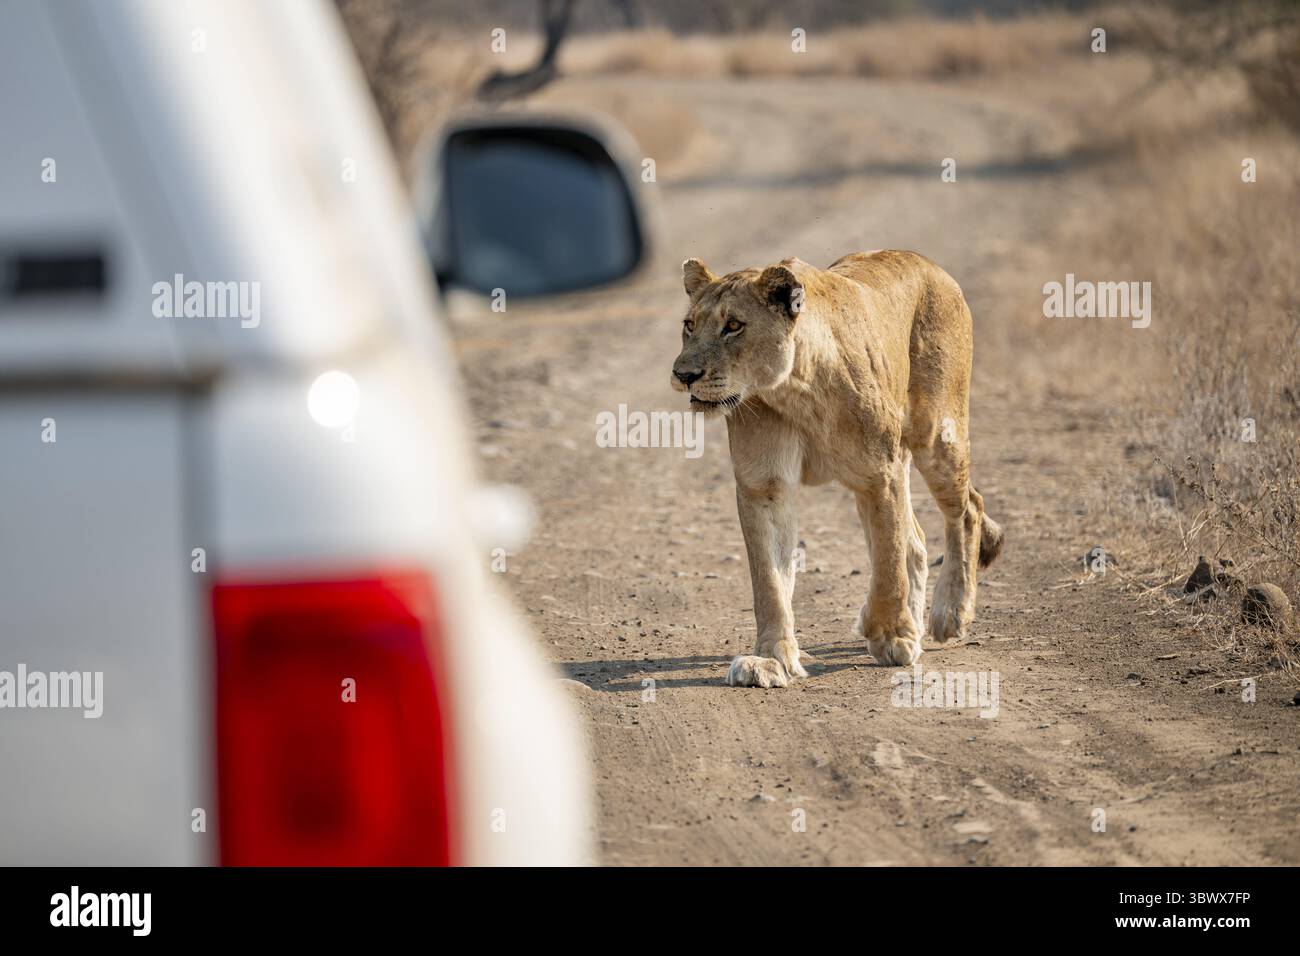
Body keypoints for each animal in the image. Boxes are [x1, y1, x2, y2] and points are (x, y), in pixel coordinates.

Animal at [670, 251, 1002, 688]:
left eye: (734, 326)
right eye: (690, 325)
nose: (683, 375)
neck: (795, 389)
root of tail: (928, 263)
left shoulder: (880, 474)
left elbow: (888, 564)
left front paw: (891, 635)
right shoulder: (764, 485)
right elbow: (770, 582)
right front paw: (771, 660)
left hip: (936, 435)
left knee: (967, 509)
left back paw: (949, 614)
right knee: (915, 539)